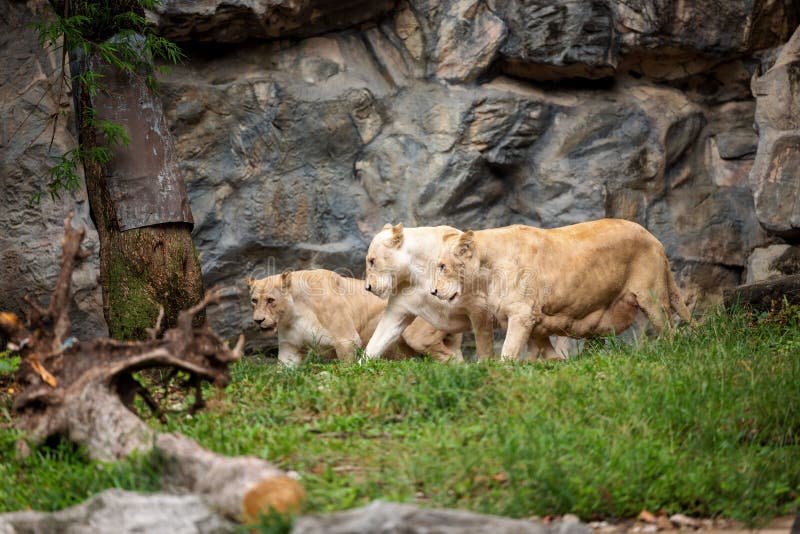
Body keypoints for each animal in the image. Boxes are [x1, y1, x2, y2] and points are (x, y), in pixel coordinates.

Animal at [248, 269, 462, 366]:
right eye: (254, 300)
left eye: (270, 300)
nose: (258, 320)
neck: (293, 314)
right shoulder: (290, 348)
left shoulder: (347, 340)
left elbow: (346, 365)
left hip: (417, 337)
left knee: (451, 359)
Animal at [364, 224, 496, 360]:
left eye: (372, 260)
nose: (368, 287)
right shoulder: (404, 299)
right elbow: (381, 335)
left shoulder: (477, 303)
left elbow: (483, 335)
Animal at [431, 219, 692, 361]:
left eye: (443, 266)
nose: (433, 292)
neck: (487, 273)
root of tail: (655, 240)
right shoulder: (536, 318)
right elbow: (542, 348)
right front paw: (554, 362)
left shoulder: (522, 314)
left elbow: (509, 350)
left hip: (651, 297)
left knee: (669, 329)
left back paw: (667, 352)